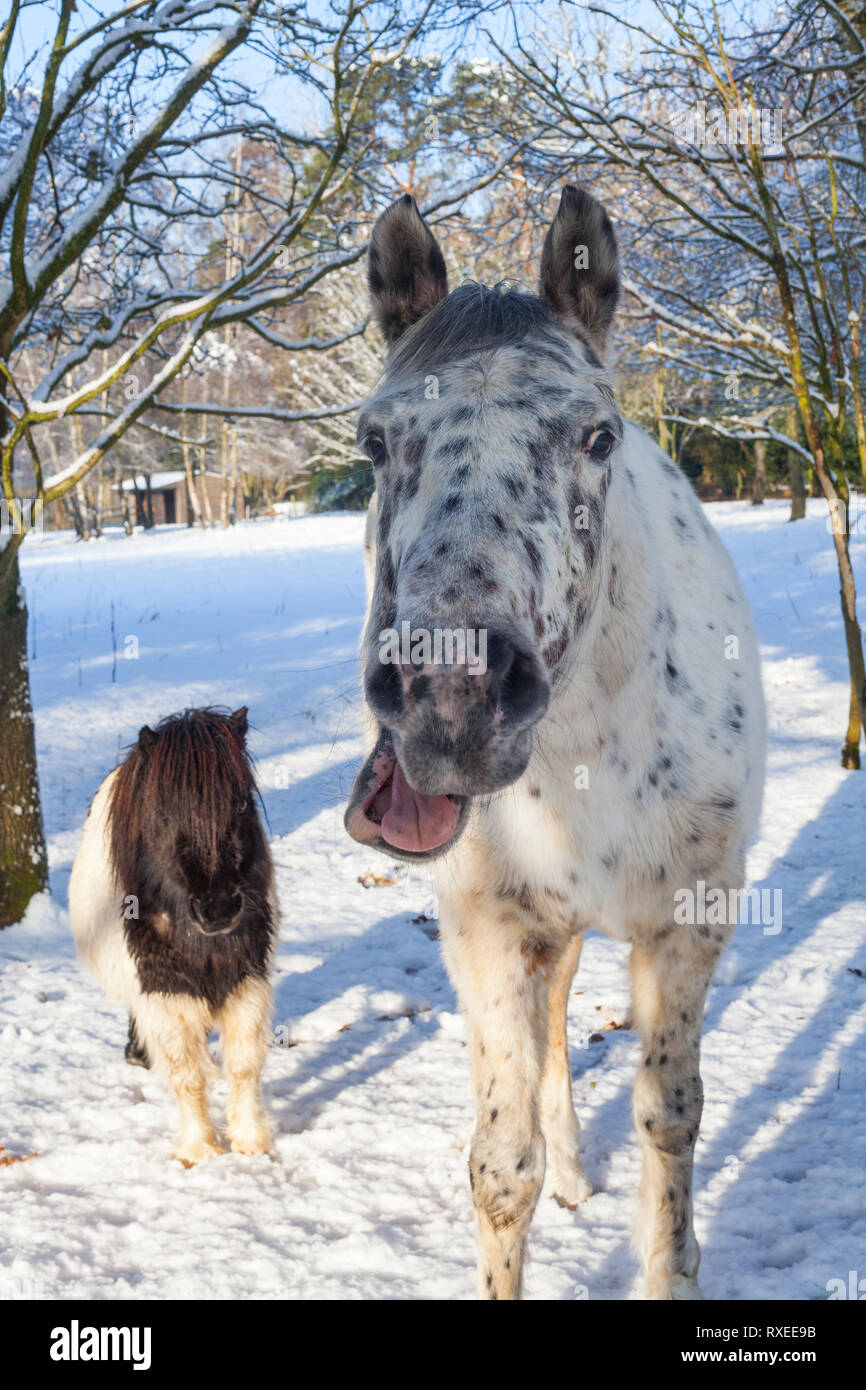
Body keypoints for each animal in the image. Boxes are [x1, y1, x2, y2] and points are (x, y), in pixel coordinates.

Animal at [69, 706, 277, 1165]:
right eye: (164, 813)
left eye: (241, 803)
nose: (219, 909)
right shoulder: (163, 996)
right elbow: (187, 1073)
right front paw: (200, 1150)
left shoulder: (246, 981)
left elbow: (245, 1062)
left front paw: (251, 1143)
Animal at [345, 186, 766, 1299]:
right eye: (373, 443)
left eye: (597, 435)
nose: (451, 697)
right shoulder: (491, 930)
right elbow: (503, 1163)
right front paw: (547, 1176)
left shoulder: (687, 927)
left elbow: (668, 1118)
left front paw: (674, 1262)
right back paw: (574, 1170)